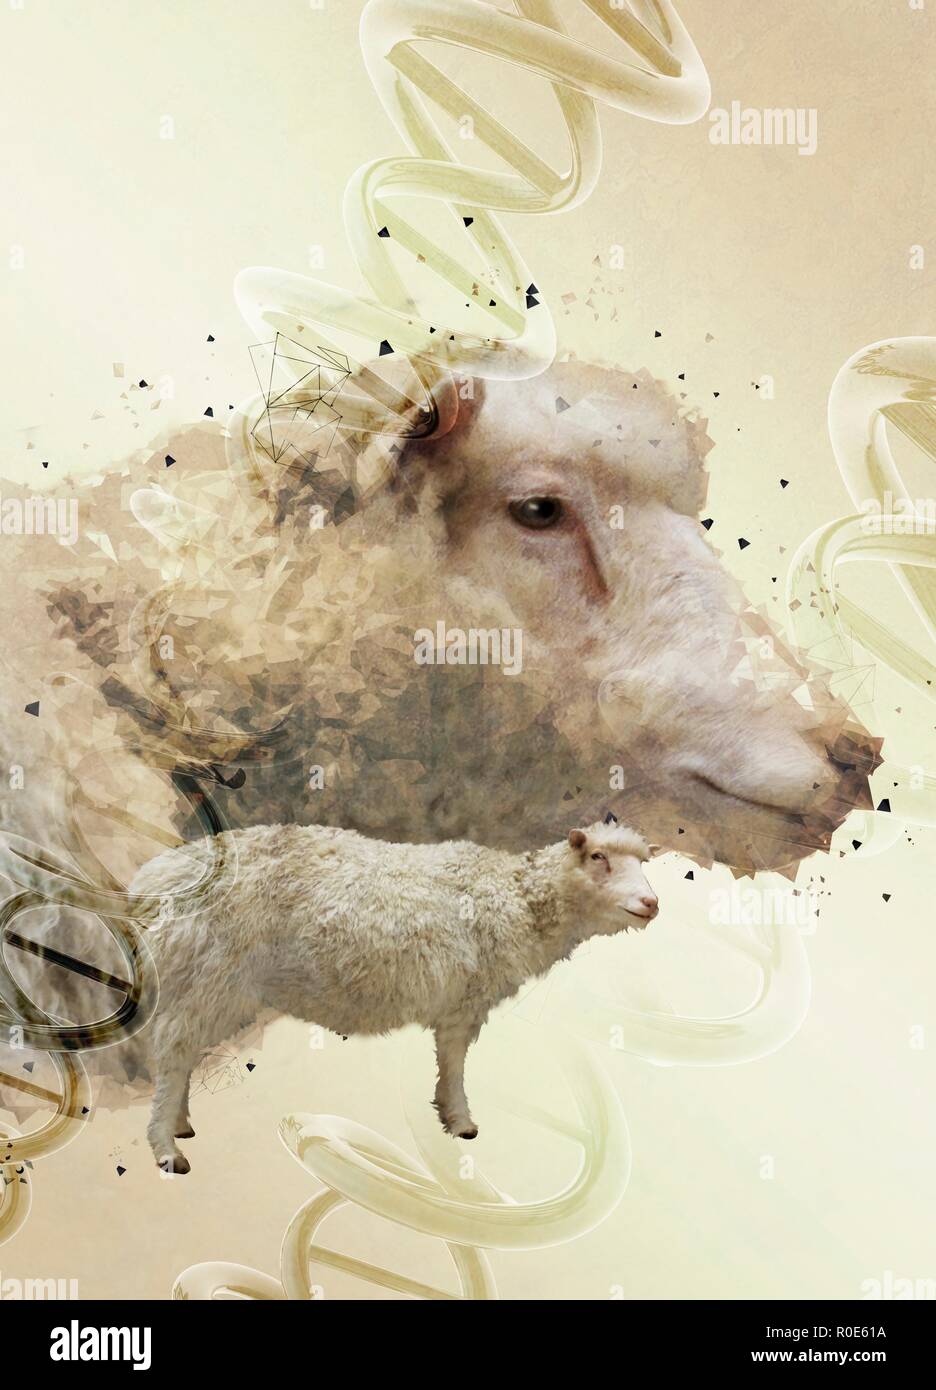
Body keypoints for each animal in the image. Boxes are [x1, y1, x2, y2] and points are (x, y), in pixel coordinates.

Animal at [128, 819, 659, 1174]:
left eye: (643, 863)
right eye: (598, 858)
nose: (652, 903)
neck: (517, 899)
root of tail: (152, 880)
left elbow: (449, 1059)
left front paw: (447, 1112)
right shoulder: (464, 999)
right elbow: (454, 1060)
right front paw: (461, 1120)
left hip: (198, 983)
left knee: (181, 1053)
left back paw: (179, 1125)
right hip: (210, 974)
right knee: (173, 1053)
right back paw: (166, 1148)